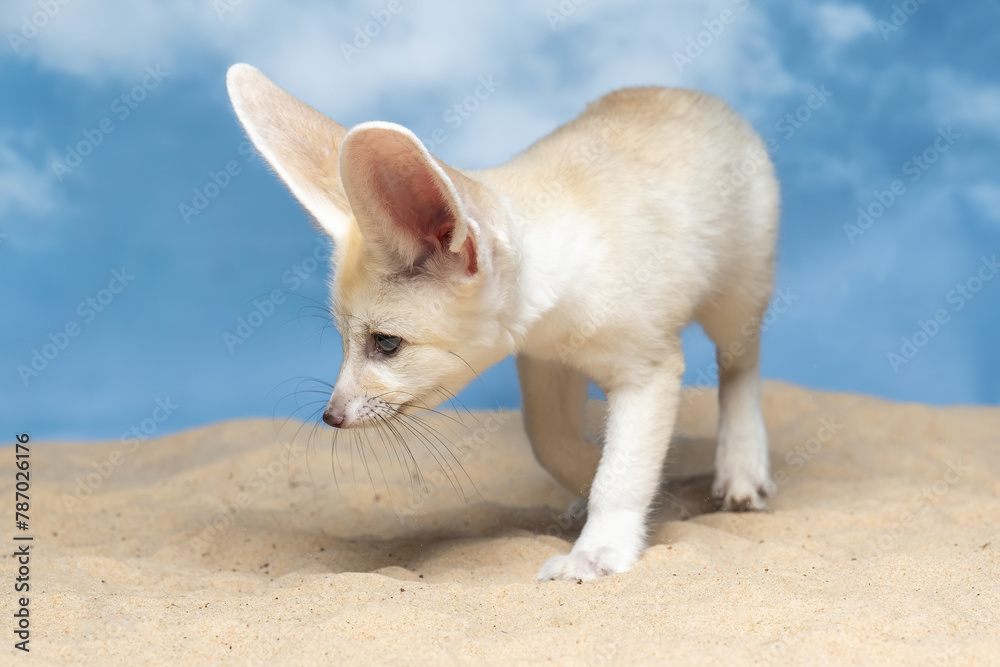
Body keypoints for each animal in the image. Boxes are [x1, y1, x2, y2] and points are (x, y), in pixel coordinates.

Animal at [226, 64, 779, 582]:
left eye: (385, 344)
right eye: (343, 340)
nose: (330, 417)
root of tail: (678, 91)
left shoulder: (648, 371)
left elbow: (621, 473)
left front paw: (597, 551)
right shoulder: (544, 361)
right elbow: (549, 442)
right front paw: (604, 480)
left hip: (737, 299)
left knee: (741, 366)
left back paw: (742, 466)